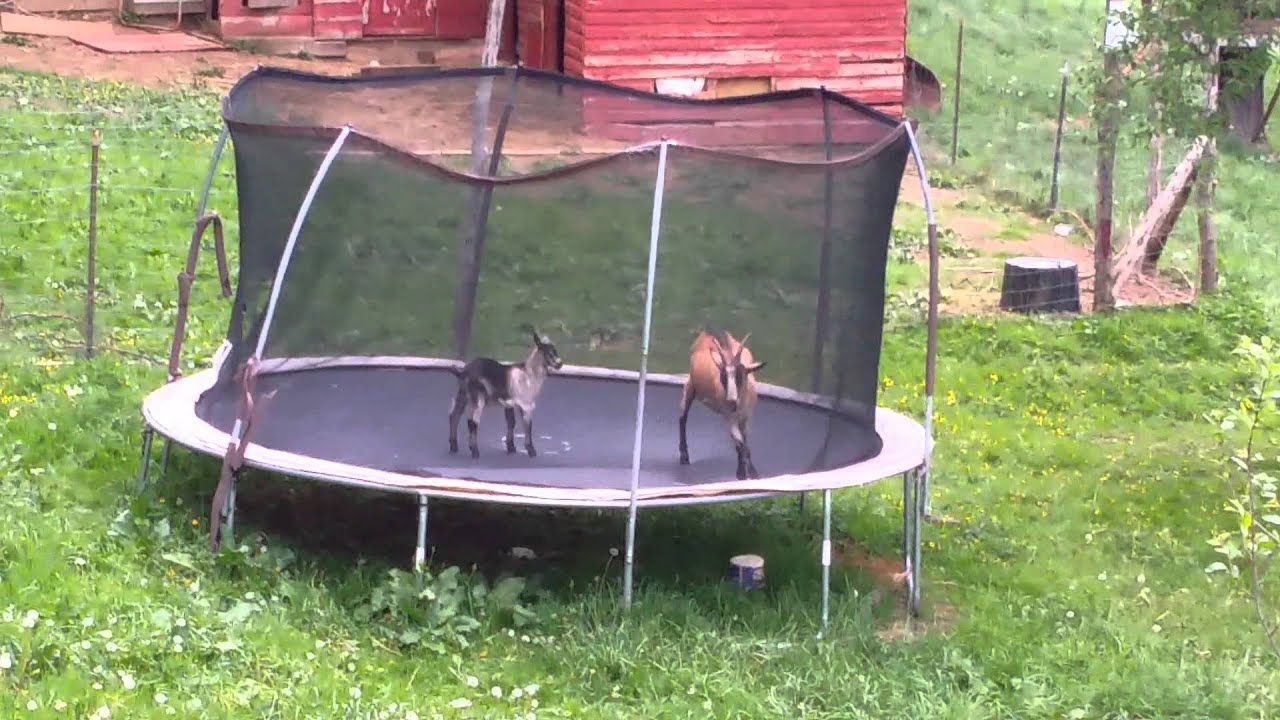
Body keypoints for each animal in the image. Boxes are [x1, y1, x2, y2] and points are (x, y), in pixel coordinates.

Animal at [448, 328, 564, 459]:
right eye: (549, 353)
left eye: (555, 351)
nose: (560, 364)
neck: (529, 373)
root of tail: (464, 372)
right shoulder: (526, 404)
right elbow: (528, 426)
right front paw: (531, 450)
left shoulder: (510, 404)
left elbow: (511, 422)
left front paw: (511, 447)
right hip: (478, 396)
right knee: (472, 422)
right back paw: (474, 451)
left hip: (463, 394)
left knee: (454, 415)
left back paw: (454, 446)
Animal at [677, 329, 768, 480]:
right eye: (723, 377)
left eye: (740, 376)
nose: (731, 400)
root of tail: (708, 332)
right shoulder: (729, 417)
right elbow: (740, 443)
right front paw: (744, 474)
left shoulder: (747, 417)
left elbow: (744, 441)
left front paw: (748, 472)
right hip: (691, 386)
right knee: (682, 417)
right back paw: (684, 456)